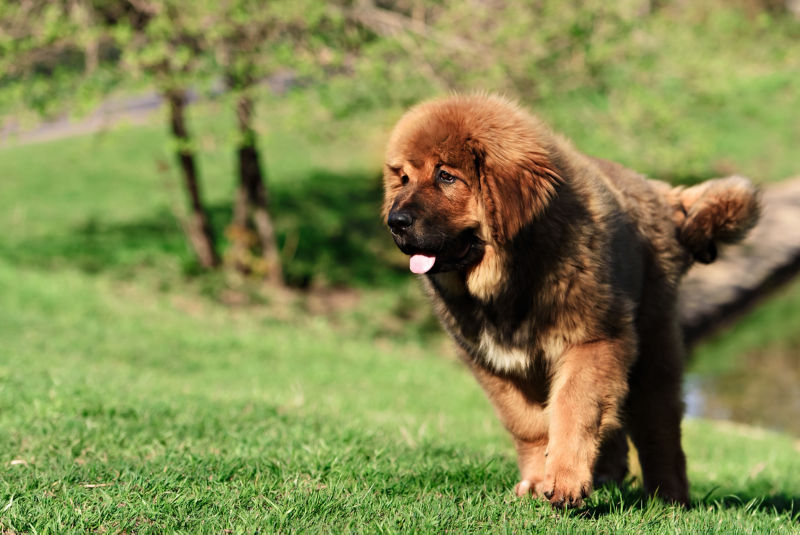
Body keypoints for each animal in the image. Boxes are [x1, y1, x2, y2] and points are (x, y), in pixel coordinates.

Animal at [384, 94, 760, 508]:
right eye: (403, 178)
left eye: (446, 176)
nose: (394, 221)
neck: (513, 274)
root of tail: (657, 191)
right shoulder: (493, 362)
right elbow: (529, 423)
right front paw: (536, 480)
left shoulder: (593, 340)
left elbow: (572, 409)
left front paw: (564, 481)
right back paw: (609, 476)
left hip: (653, 349)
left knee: (659, 428)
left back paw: (668, 497)